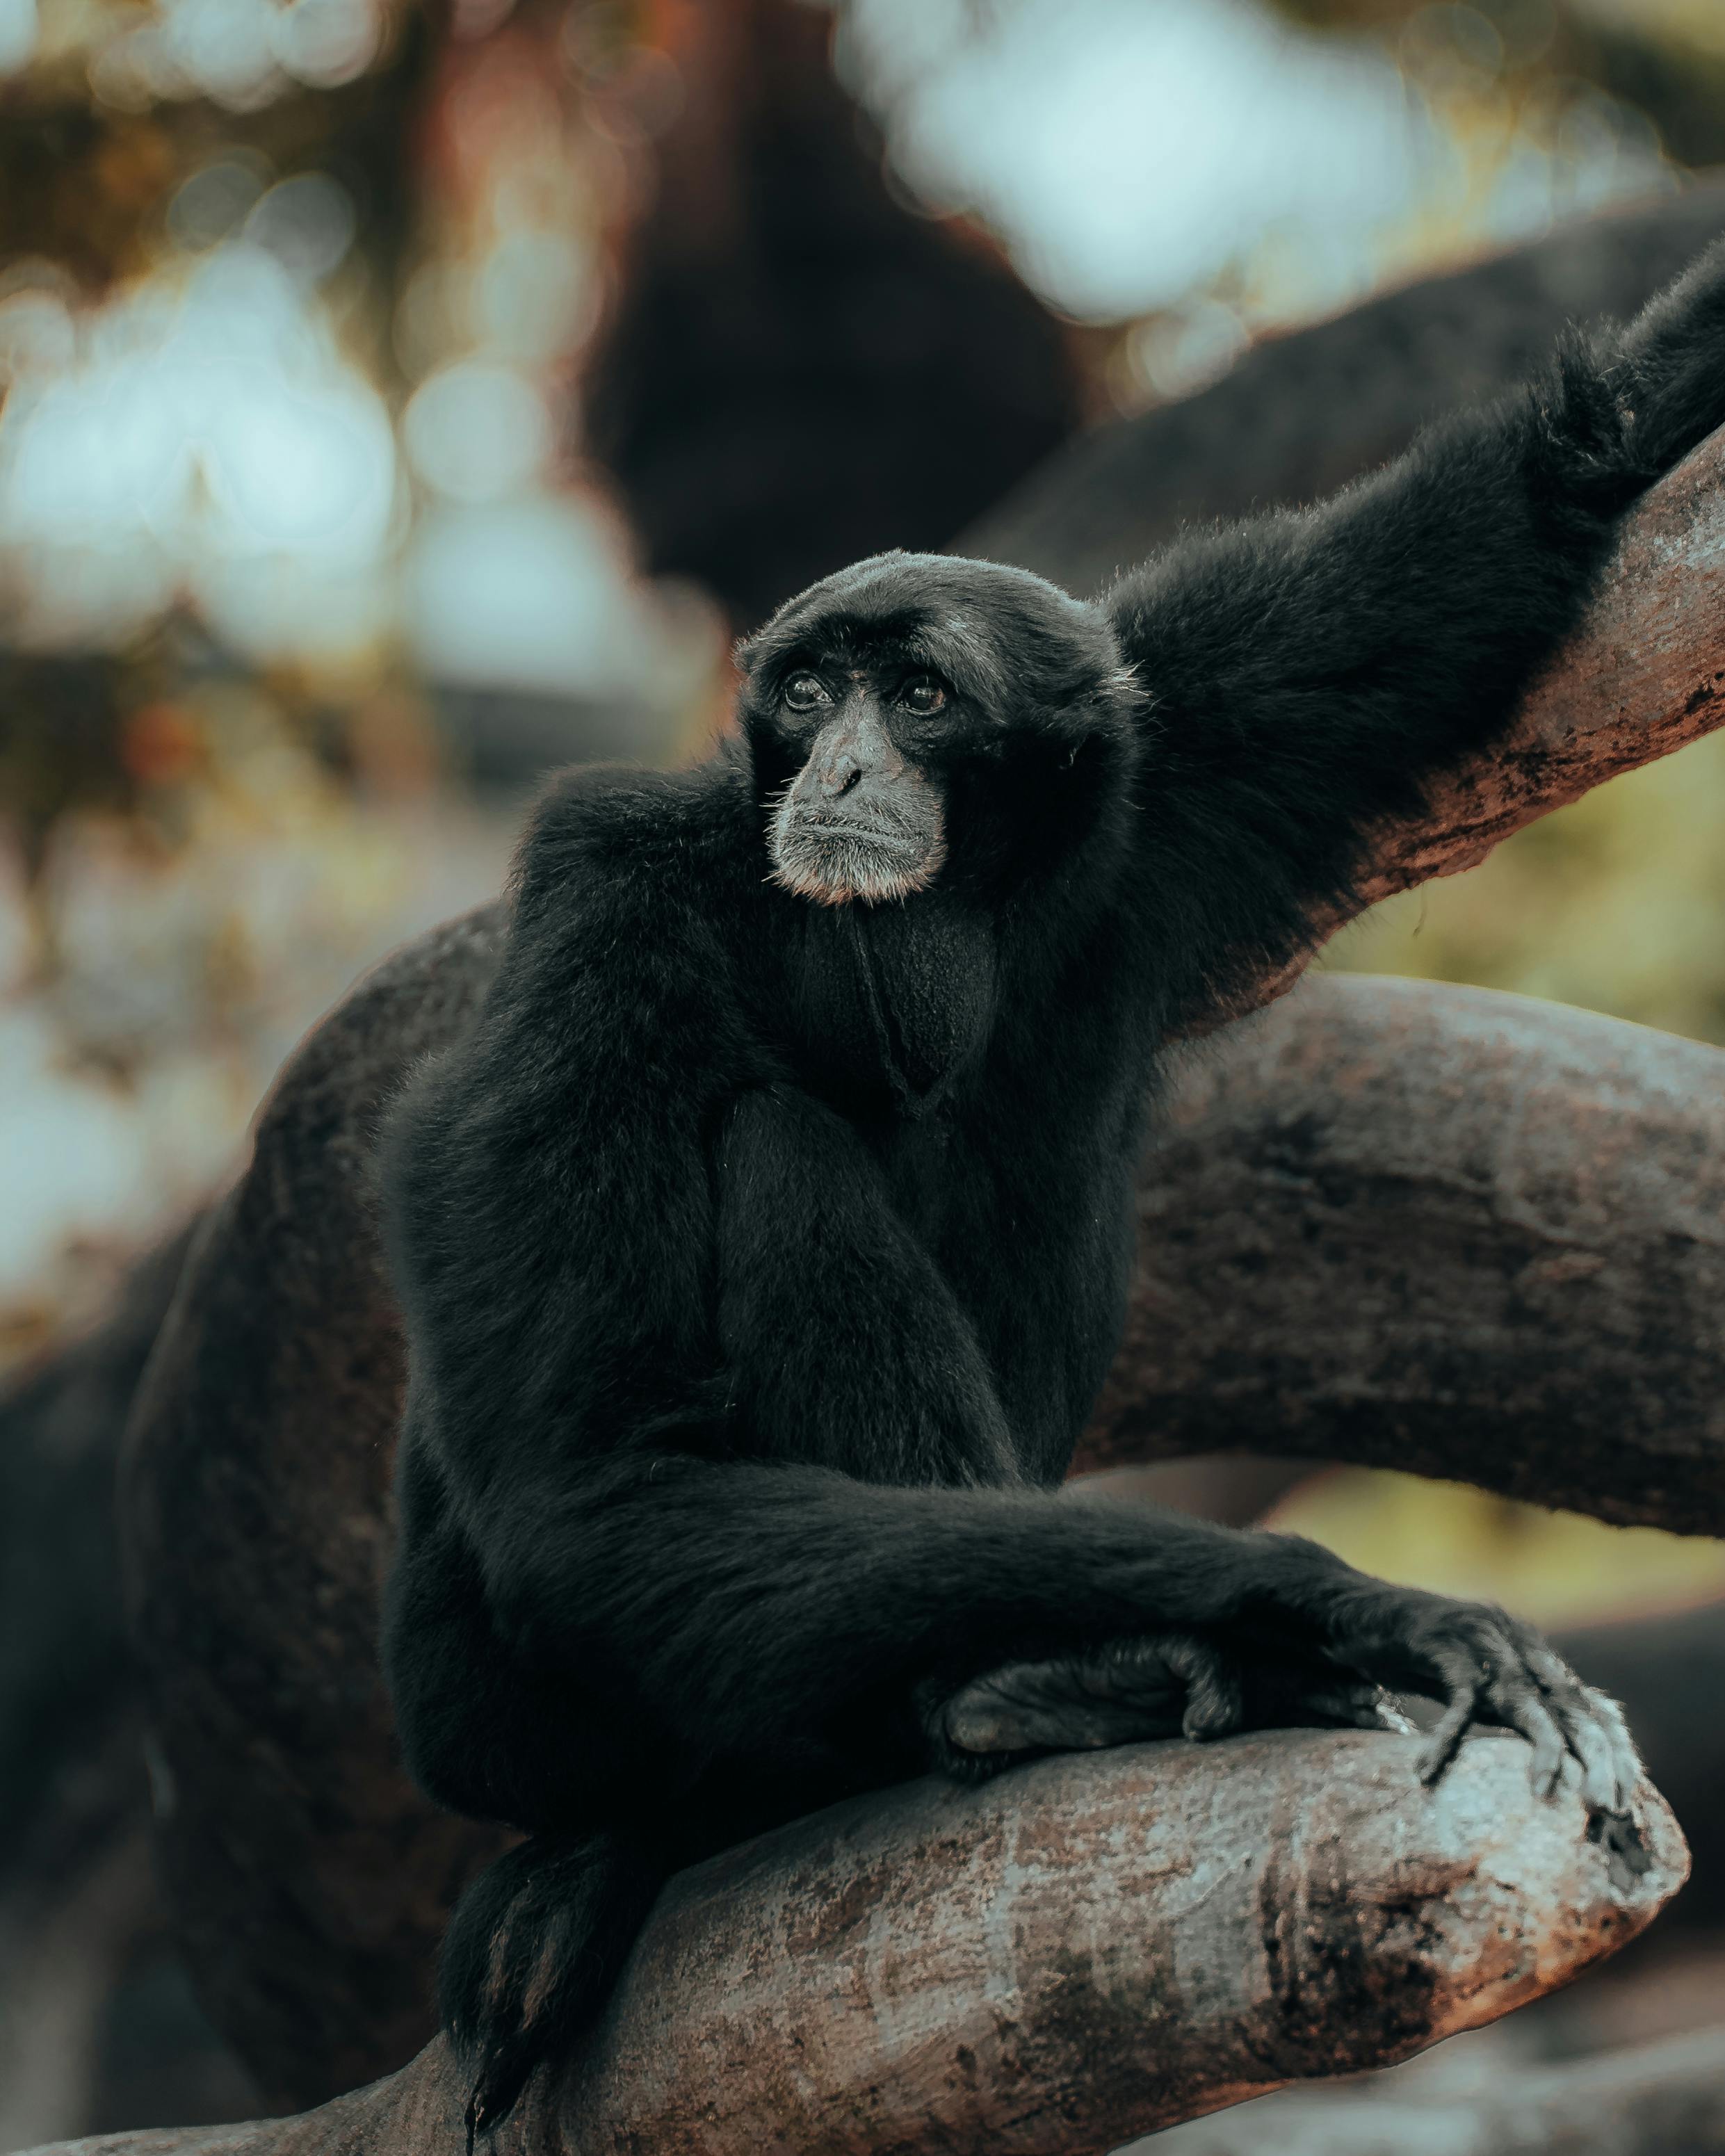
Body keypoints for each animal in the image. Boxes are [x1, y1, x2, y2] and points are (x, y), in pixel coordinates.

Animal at [379, 239, 1725, 2138]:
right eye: (811, 694)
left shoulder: (1176, 747)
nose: (835, 765)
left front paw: (1663, 376)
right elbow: (590, 1478)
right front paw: (1314, 1601)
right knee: (767, 1157)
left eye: (920, 698)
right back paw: (1028, 1691)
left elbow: (1497, 527)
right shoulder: (606, 897)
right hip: (491, 1707)